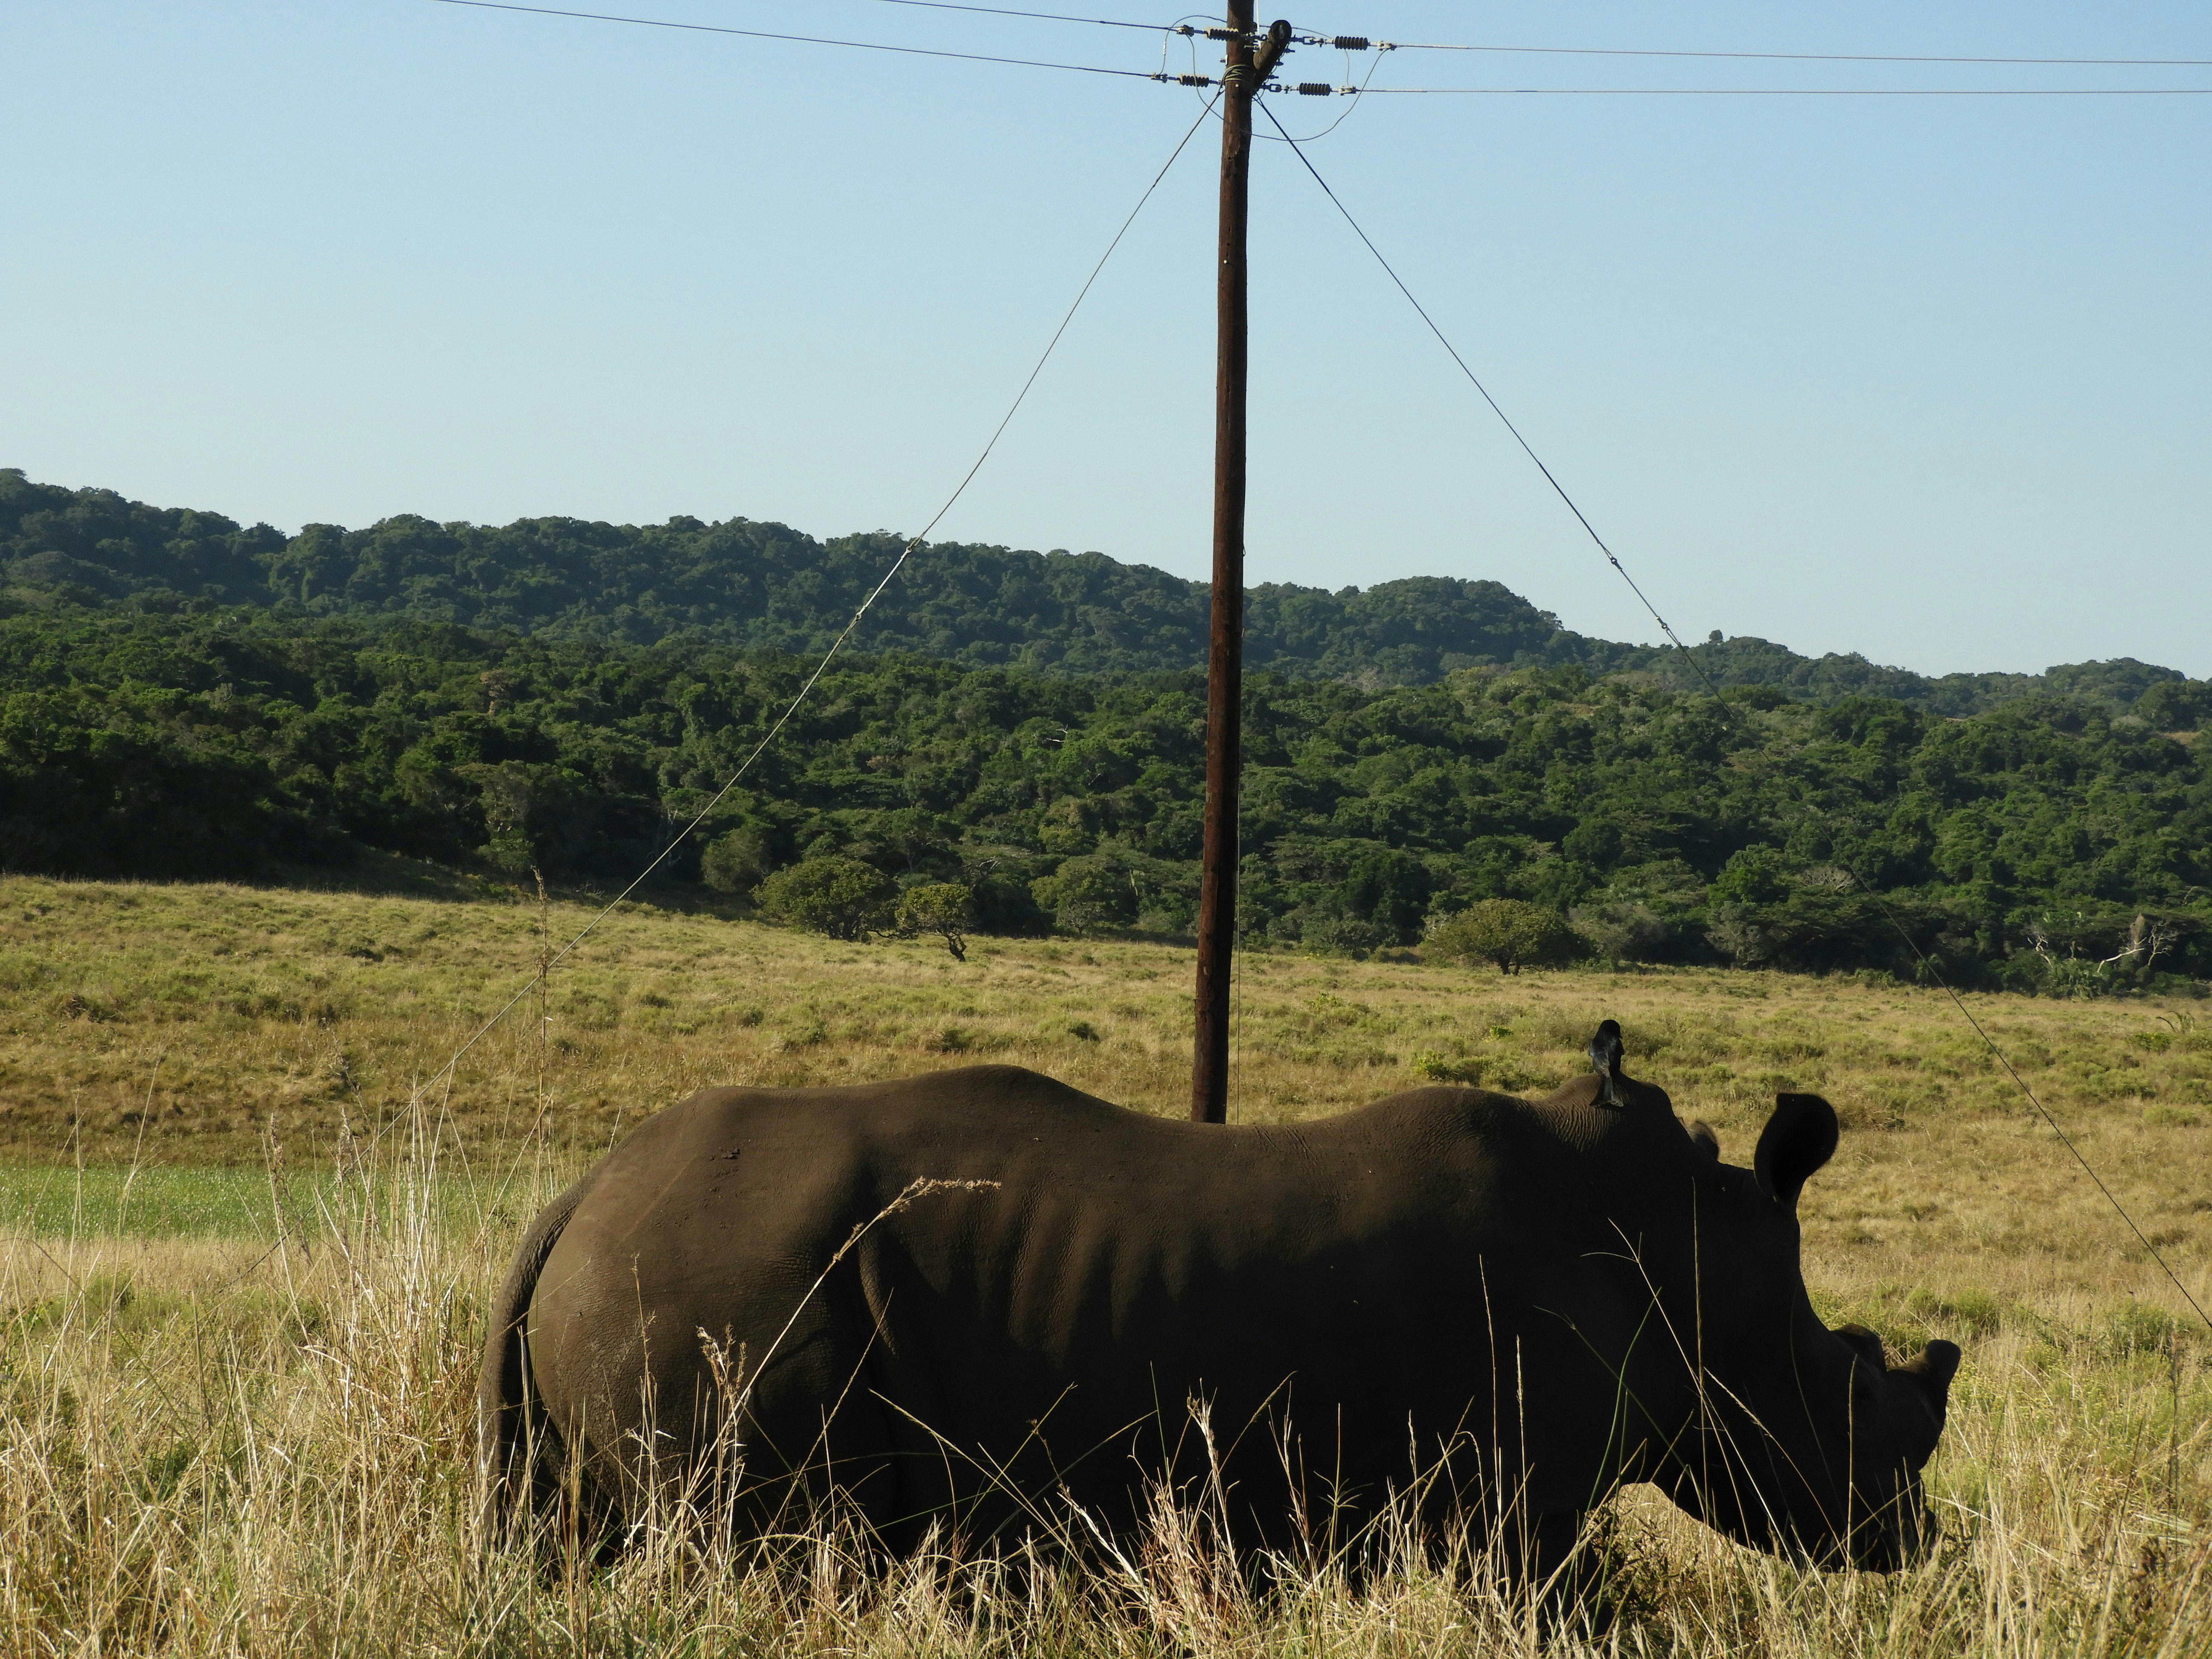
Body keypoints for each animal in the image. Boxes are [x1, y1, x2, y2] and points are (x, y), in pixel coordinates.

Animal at [480, 1056, 1958, 1586]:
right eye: (1852, 1394)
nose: (1912, 1547)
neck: (1690, 1259)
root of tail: (575, 1201)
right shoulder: (1511, 1500)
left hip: (656, 1279)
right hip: (713, 1287)